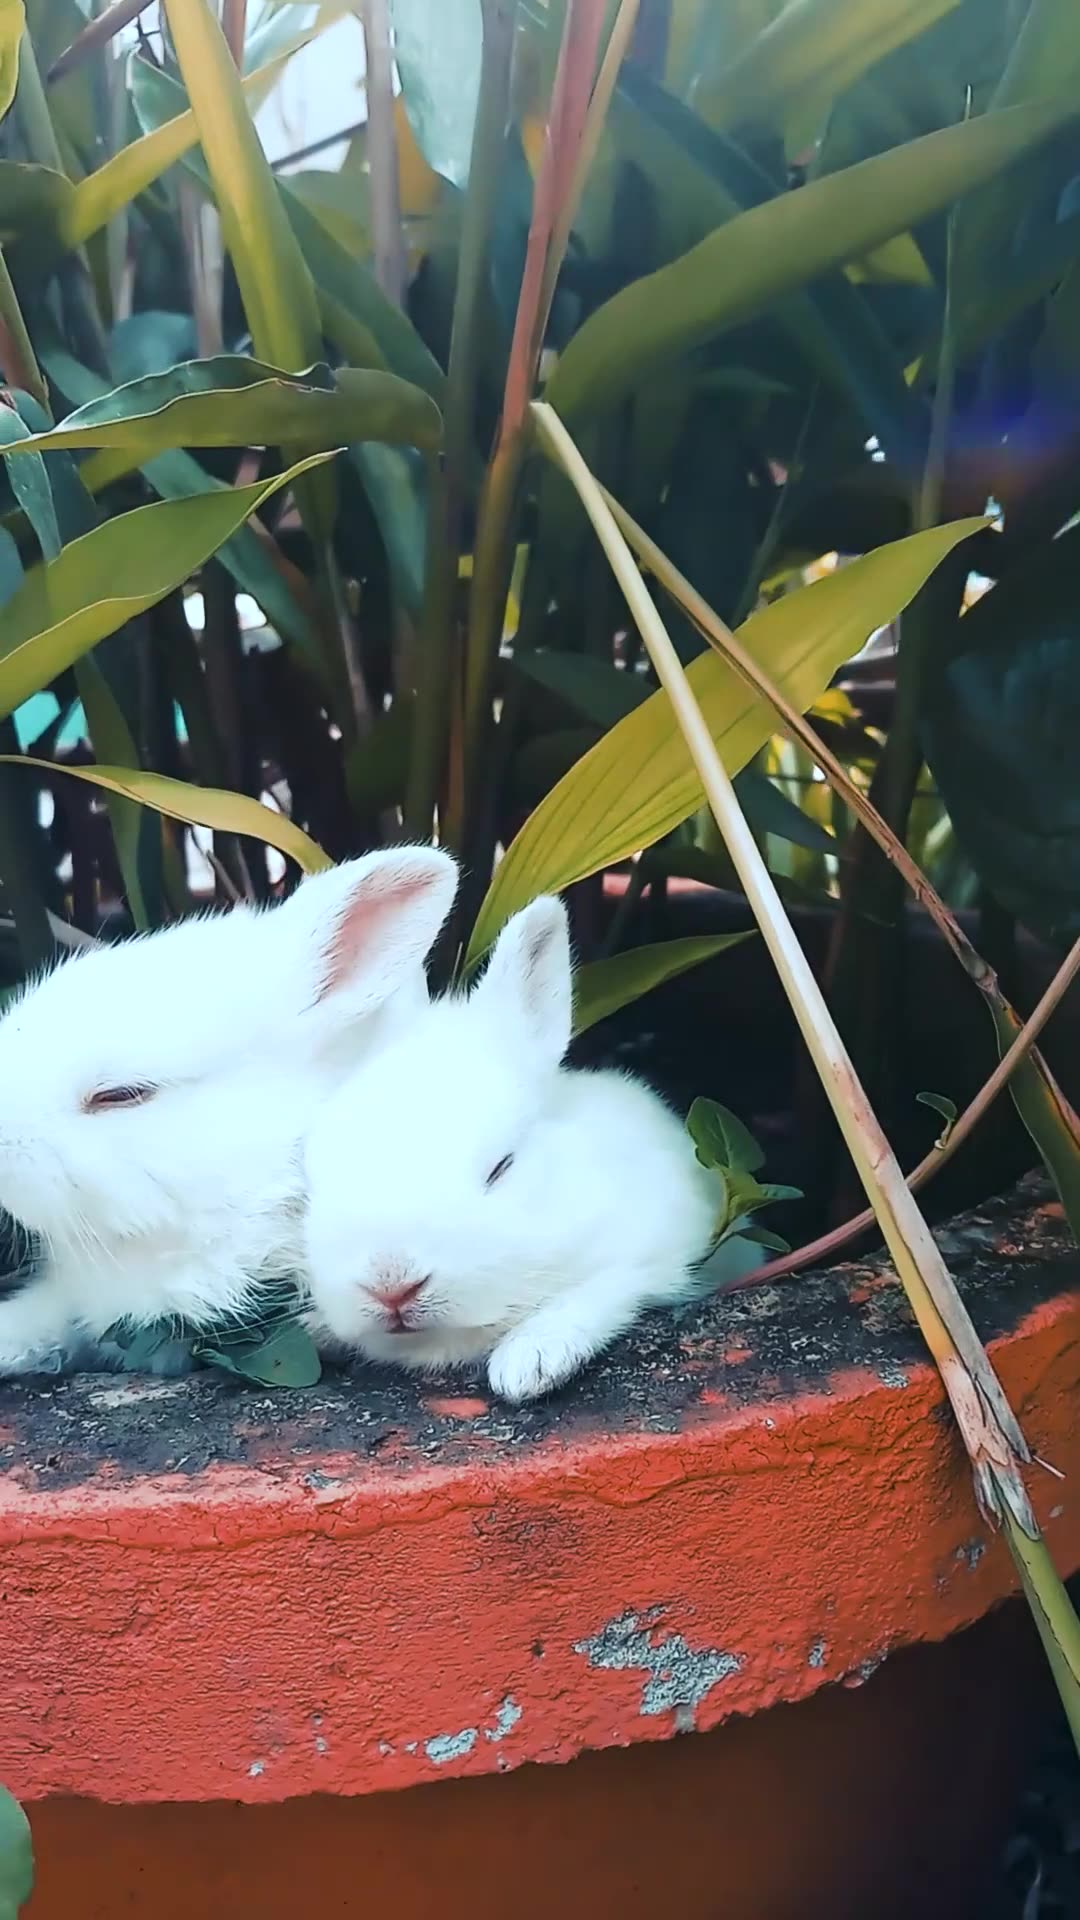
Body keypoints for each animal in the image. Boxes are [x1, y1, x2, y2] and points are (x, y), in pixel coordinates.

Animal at [302, 894, 721, 1404]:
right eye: (314, 1176)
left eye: (502, 1167)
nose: (391, 1285)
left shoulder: (648, 1254)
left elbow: (599, 1292)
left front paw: (530, 1365)